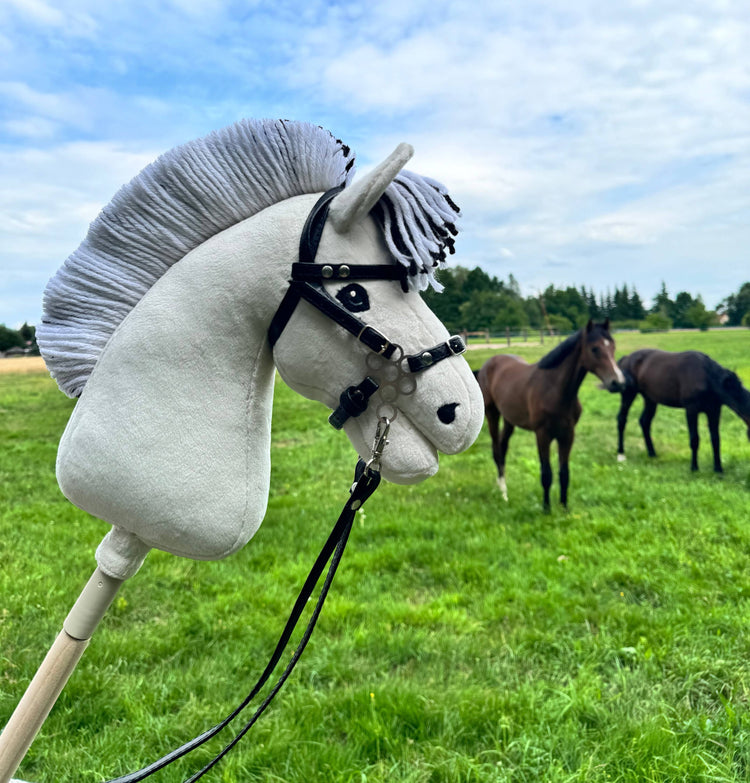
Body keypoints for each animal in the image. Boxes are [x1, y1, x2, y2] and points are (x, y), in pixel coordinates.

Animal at [476, 320, 625, 509]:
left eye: (613, 346)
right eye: (594, 349)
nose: (618, 382)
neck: (555, 389)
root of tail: (487, 364)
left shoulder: (567, 435)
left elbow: (564, 473)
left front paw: (564, 507)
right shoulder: (542, 435)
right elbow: (546, 473)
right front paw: (546, 508)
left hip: (509, 420)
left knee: (503, 448)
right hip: (492, 414)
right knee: (496, 450)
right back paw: (503, 493)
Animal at [613, 348, 750, 471]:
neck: (706, 377)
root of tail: (626, 358)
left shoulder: (714, 411)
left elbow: (715, 439)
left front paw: (718, 469)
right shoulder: (691, 410)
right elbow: (694, 439)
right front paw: (694, 468)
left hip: (650, 399)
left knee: (644, 422)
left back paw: (652, 453)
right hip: (628, 394)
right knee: (622, 419)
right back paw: (621, 453)